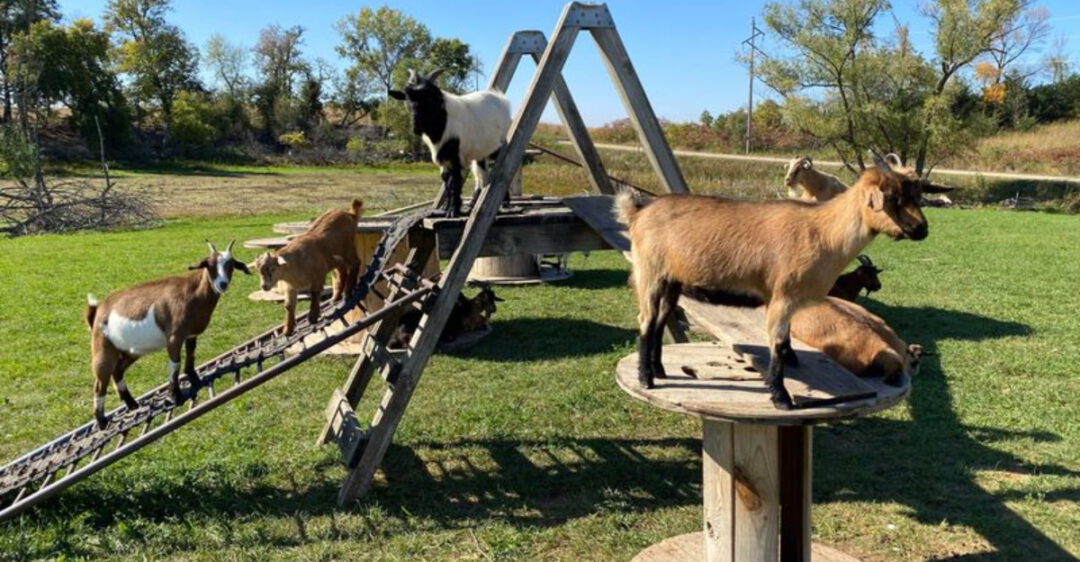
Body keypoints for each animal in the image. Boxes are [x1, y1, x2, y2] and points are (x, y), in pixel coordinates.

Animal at [85, 241, 250, 429]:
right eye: (209, 264)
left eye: (231, 265)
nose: (222, 284)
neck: (192, 293)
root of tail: (97, 311)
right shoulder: (174, 338)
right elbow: (175, 365)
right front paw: (175, 396)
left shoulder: (190, 335)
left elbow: (191, 354)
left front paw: (194, 378)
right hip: (102, 348)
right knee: (100, 384)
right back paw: (102, 421)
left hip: (130, 351)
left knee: (117, 371)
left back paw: (132, 404)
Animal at [251, 200, 363, 336]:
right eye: (258, 271)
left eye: (273, 269)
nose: (264, 286)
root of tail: (349, 213)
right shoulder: (291, 287)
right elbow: (289, 306)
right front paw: (287, 330)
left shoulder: (318, 275)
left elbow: (315, 294)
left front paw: (313, 317)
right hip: (335, 258)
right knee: (342, 271)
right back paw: (336, 297)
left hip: (348, 248)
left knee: (355, 263)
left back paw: (348, 292)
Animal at [389, 68, 511, 218]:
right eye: (407, 98)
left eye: (430, 97)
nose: (416, 127)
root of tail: (501, 99)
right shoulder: (444, 158)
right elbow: (446, 180)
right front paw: (445, 208)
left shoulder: (456, 157)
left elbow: (455, 181)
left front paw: (453, 211)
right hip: (481, 153)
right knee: (481, 175)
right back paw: (473, 203)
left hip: (498, 146)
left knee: (501, 166)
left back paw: (504, 203)